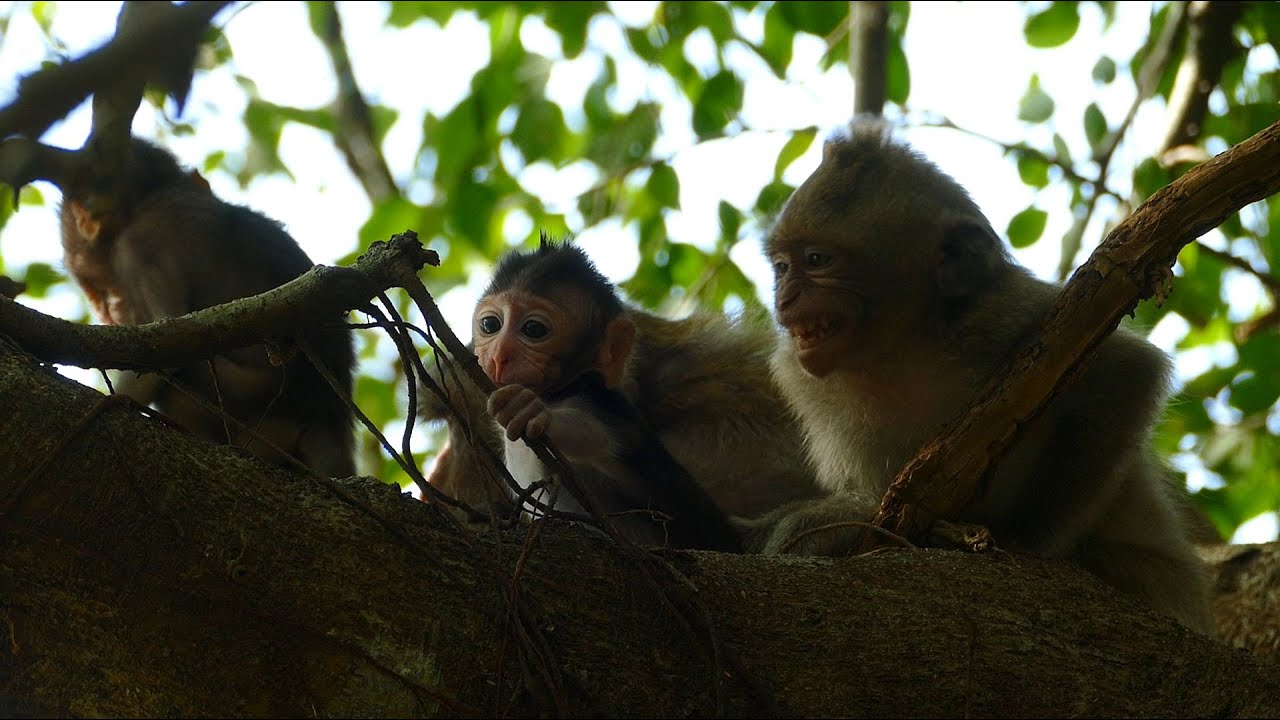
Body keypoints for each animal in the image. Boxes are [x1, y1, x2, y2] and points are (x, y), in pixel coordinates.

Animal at [57, 137, 356, 478]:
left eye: (99, 292)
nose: (107, 313)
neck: (156, 196)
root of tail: (328, 416)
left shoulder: (134, 249)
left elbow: (164, 349)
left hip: (250, 402)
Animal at [747, 119, 1215, 634]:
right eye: (782, 266)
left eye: (816, 260)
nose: (785, 296)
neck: (900, 350)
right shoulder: (804, 379)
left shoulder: (1005, 317)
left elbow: (1128, 370)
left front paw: (1025, 541)